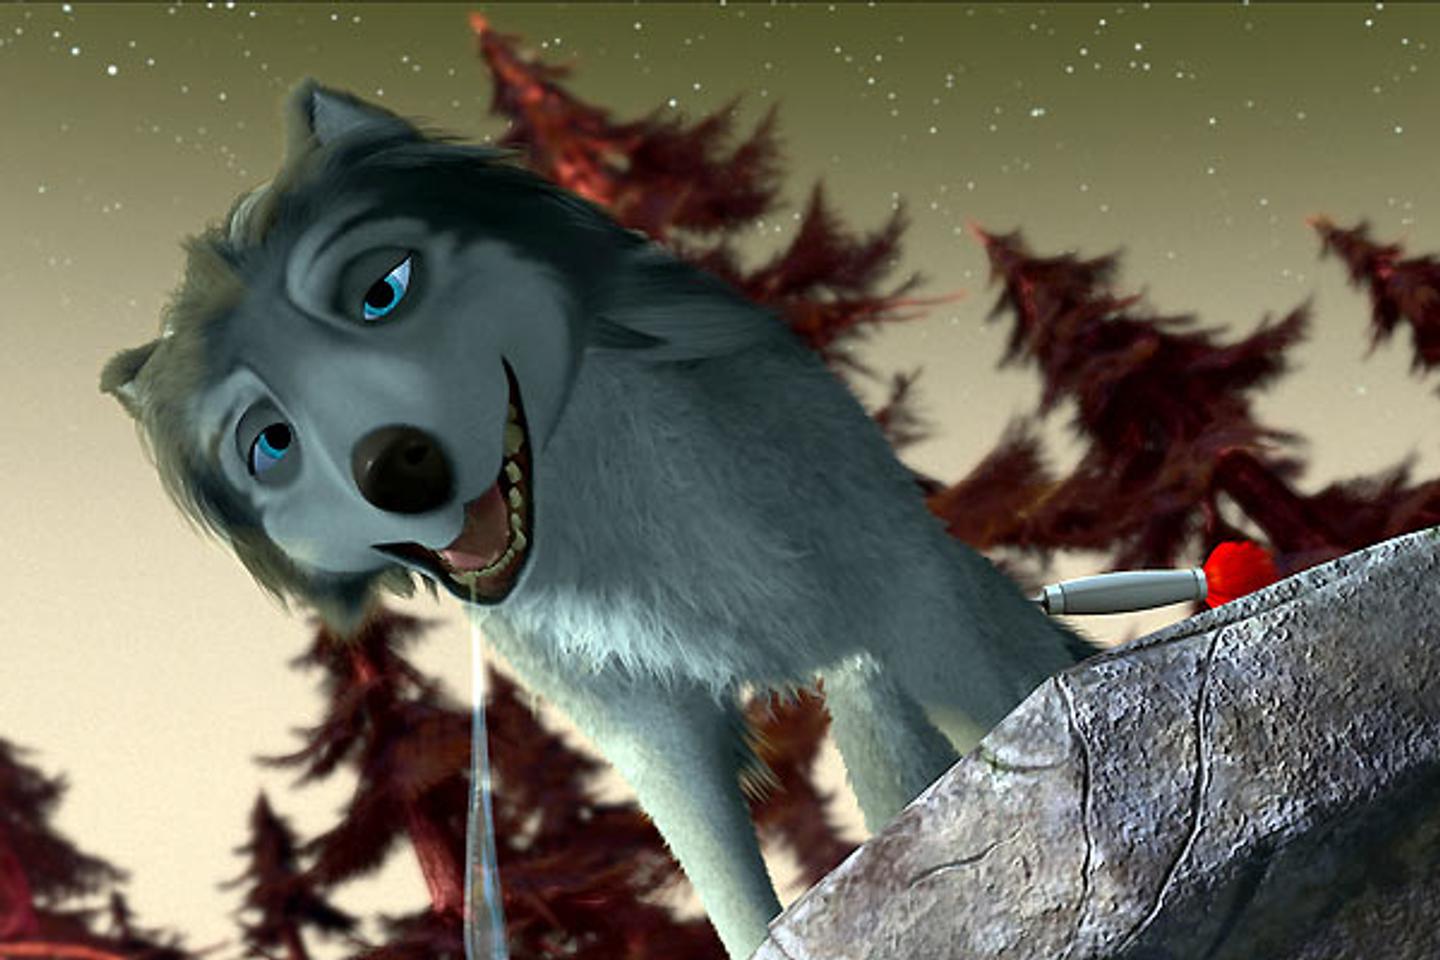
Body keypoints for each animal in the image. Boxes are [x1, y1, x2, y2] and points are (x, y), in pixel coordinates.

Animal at [100, 80, 1092, 959]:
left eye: (383, 290)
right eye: (270, 442)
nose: (396, 466)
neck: (621, 535)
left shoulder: (900, 597)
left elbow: (1007, 714)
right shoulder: (646, 726)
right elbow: (731, 891)